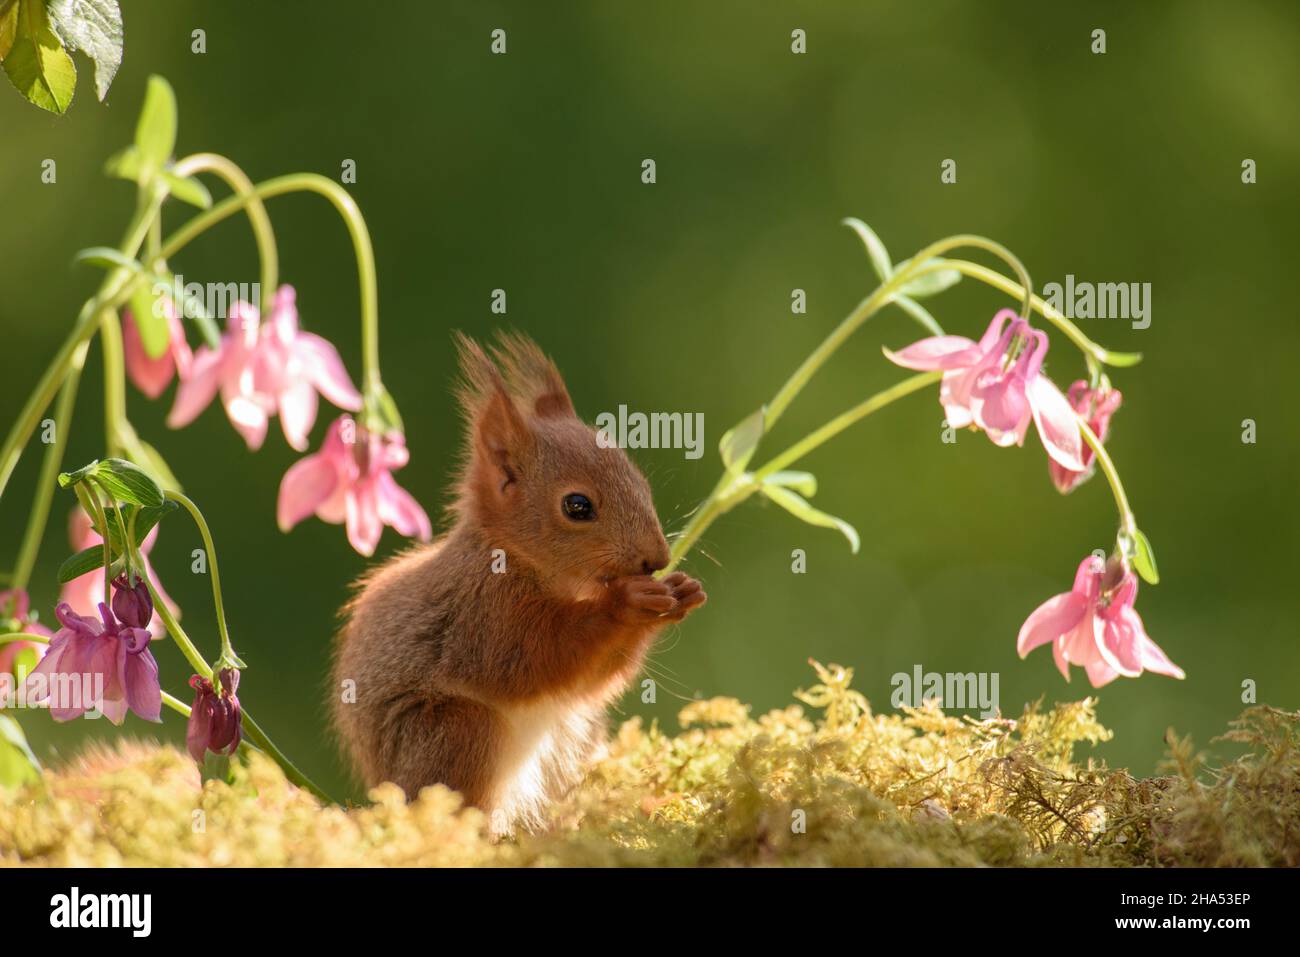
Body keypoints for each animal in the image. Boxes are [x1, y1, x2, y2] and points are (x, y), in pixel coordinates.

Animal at [331, 333, 706, 831]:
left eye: (641, 482)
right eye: (577, 506)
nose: (657, 559)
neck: (524, 562)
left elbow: (591, 680)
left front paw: (681, 591)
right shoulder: (484, 614)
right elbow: (537, 657)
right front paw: (625, 604)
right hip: (454, 731)